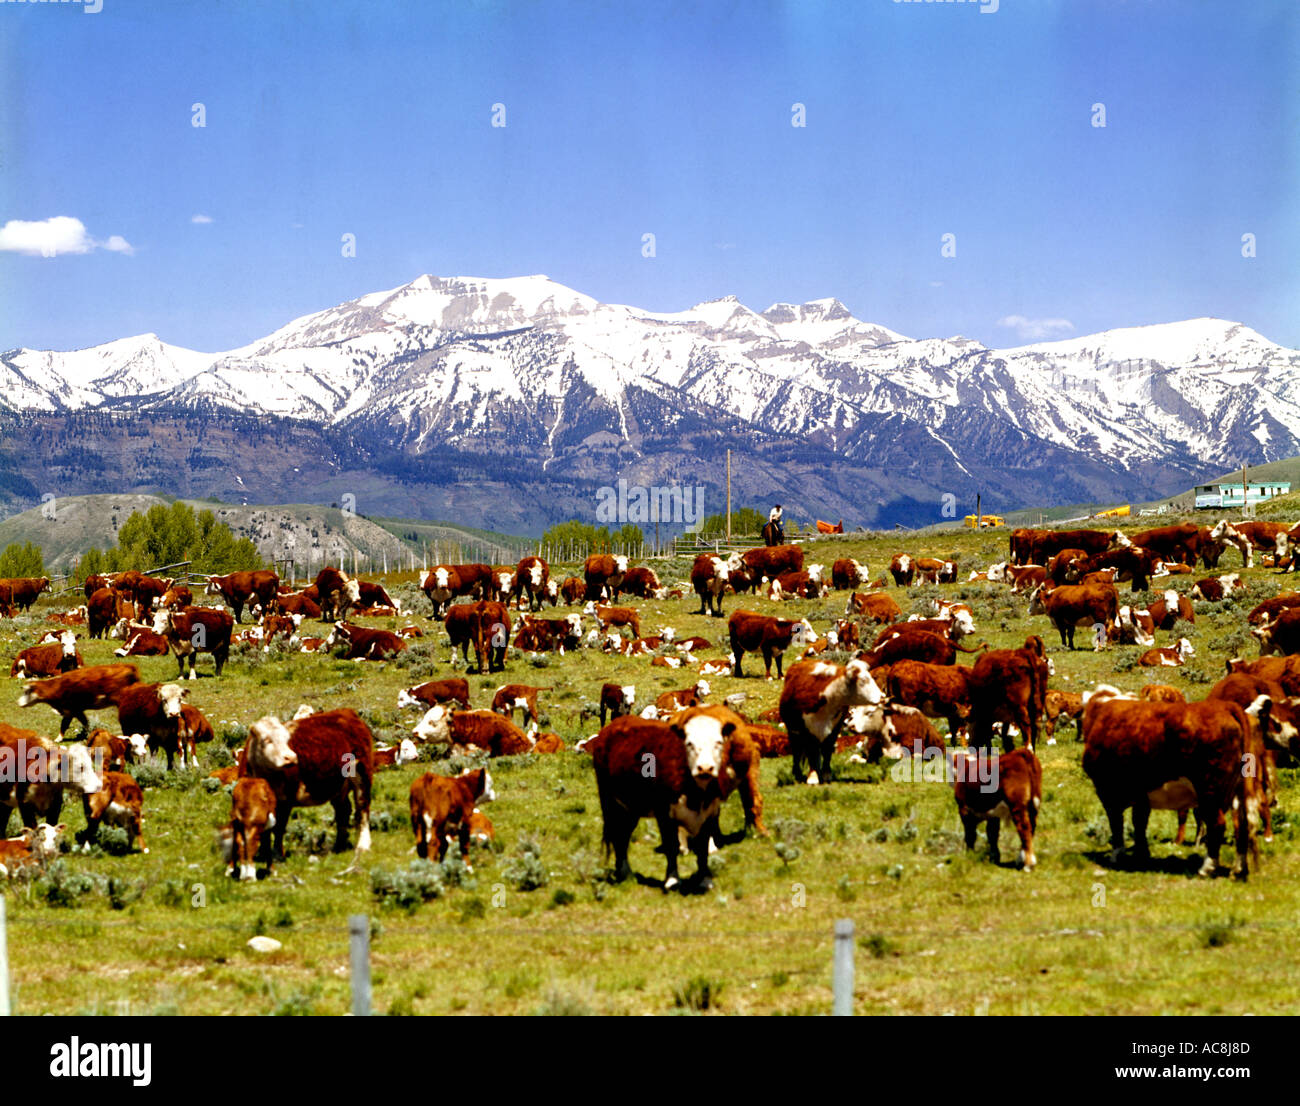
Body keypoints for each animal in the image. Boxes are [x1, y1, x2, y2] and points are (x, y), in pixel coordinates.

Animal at [243, 708, 374, 863]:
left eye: (287, 739)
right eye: (267, 740)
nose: (291, 757)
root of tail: (347, 712)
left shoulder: (286, 800)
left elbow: (279, 828)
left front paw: (277, 855)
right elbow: (265, 830)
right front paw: (264, 854)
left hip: (362, 774)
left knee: (362, 808)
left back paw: (363, 845)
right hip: (338, 786)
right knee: (343, 811)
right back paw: (339, 846)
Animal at [779, 656, 883, 785]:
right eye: (863, 681)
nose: (882, 696)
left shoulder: (835, 728)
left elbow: (827, 750)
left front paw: (826, 774)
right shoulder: (807, 730)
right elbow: (811, 751)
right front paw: (812, 777)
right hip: (793, 730)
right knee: (797, 750)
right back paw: (797, 773)